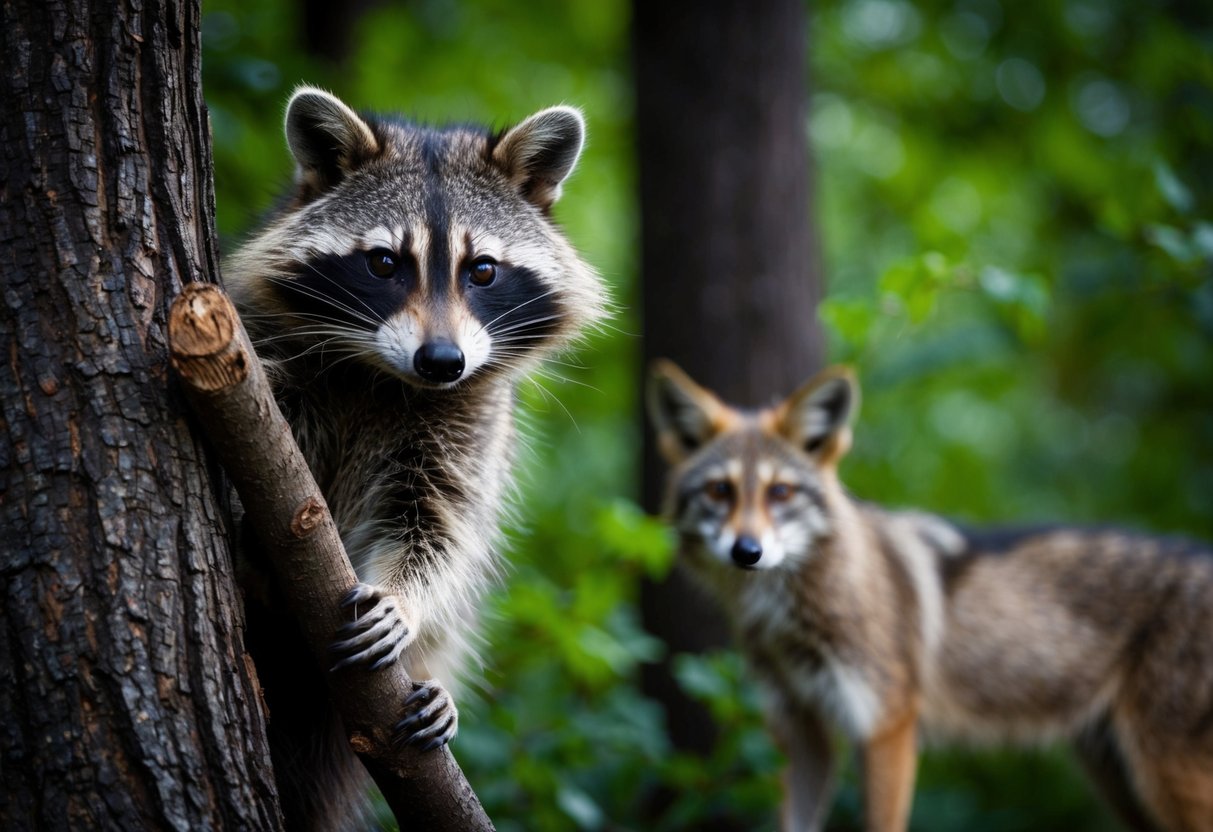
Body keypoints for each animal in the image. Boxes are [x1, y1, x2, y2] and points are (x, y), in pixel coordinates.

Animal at [225, 87, 606, 830]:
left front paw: (404, 596)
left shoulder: (470, 423)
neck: (386, 375)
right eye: (383, 263)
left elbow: (439, 527)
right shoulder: (267, 345)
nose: (442, 360)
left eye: (482, 271)